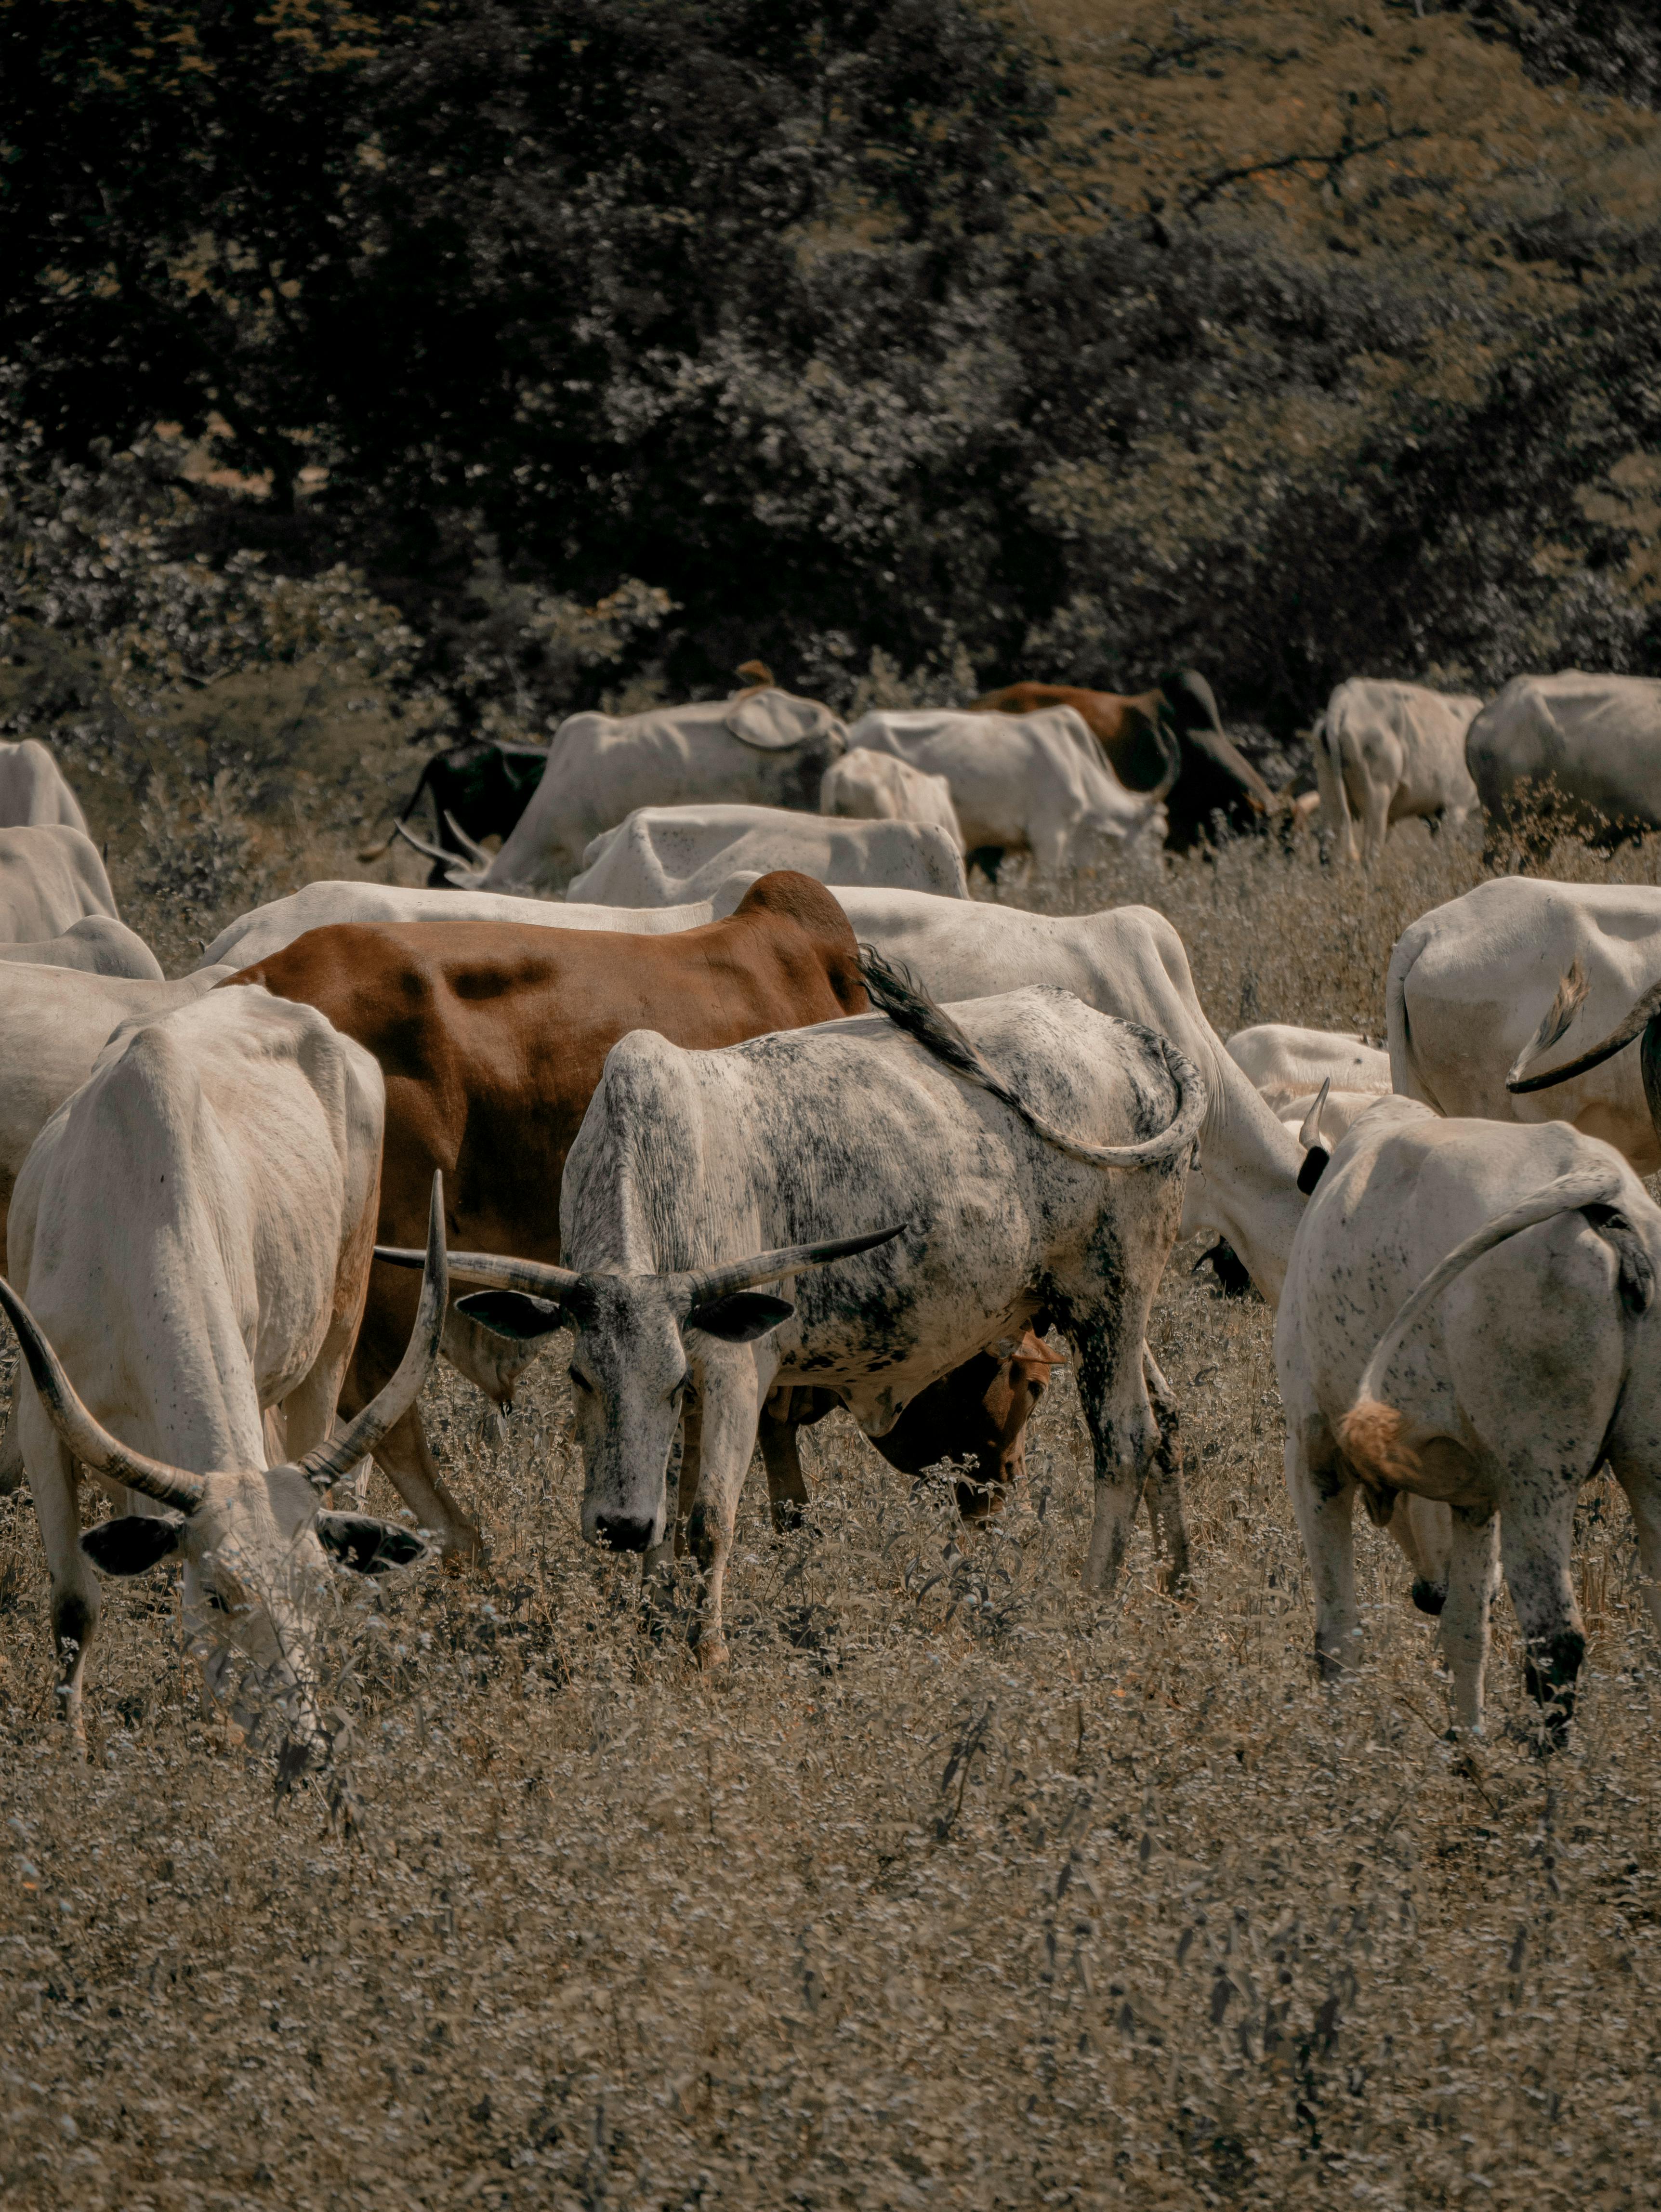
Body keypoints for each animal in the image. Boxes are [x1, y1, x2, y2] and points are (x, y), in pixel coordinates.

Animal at [1, 990, 446, 1752]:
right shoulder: (42, 1419)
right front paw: (74, 1751)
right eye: (218, 1593)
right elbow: (74, 1607)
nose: (304, 1741)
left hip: (335, 1328)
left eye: (319, 1590)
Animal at [388, 957, 1206, 1664]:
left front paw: (708, 1654)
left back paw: (1092, 1608)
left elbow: (708, 1520)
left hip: (1112, 1297)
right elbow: (672, 1516)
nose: (617, 1526)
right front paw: (654, 1631)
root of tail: (1129, 1036)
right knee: (1166, 1420)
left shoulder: (733, 1368)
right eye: (580, 1379)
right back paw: (1176, 1588)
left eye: (673, 1383)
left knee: (1125, 1438)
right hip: (1100, 1307)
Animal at [1276, 1094, 1661, 1738]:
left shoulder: (1314, 1458)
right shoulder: (1475, 1502)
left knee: (1554, 1640)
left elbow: (1336, 1637)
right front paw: (1465, 1742)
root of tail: (1604, 1183)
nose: (1423, 1591)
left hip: (1535, 1477)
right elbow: (1465, 1631)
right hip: (1643, 1469)